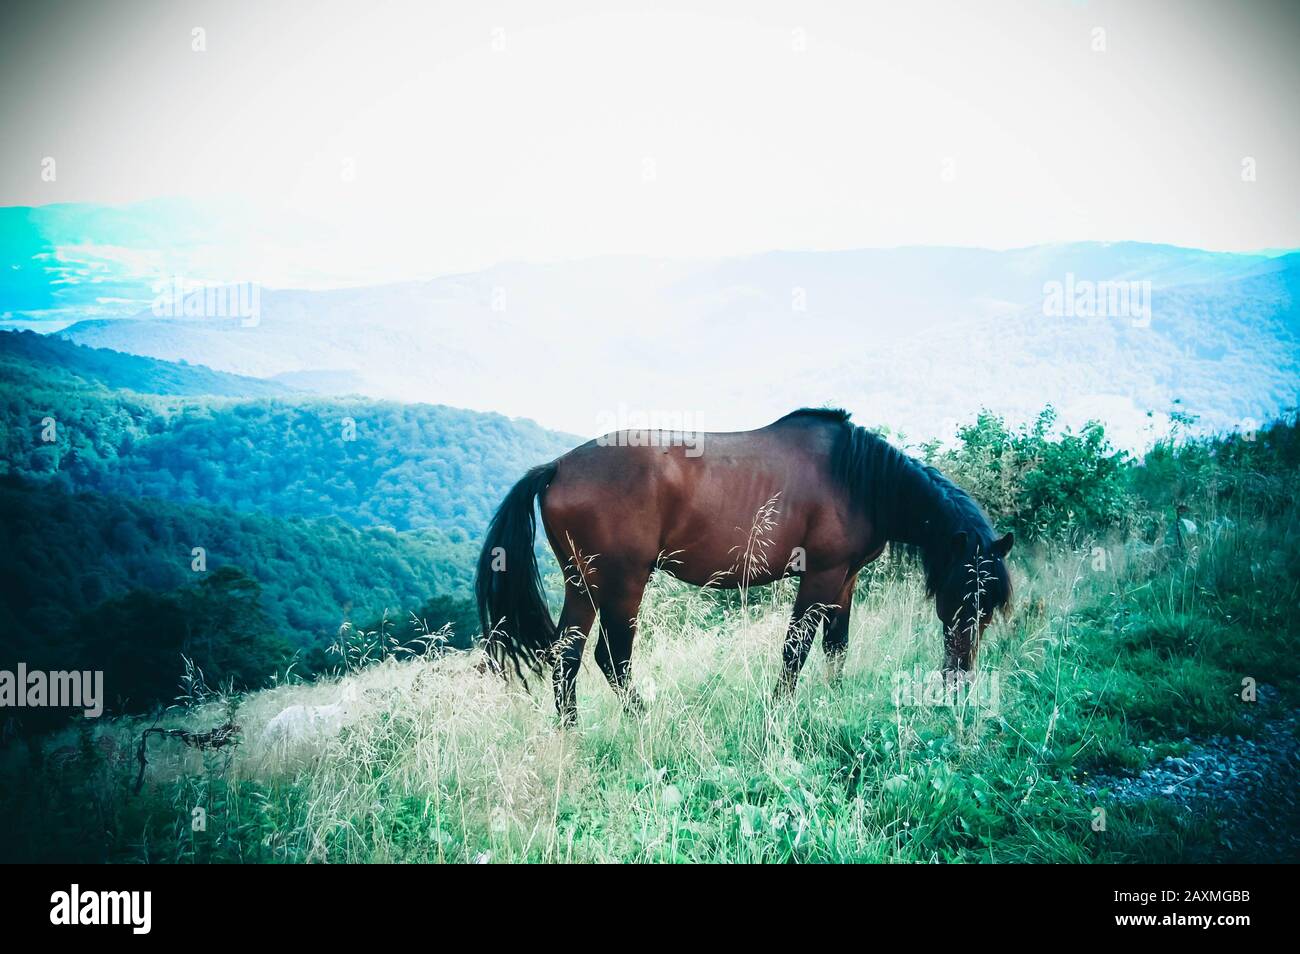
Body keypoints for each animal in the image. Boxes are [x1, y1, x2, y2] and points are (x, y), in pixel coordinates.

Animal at [475, 408, 1013, 725]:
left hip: (582, 585)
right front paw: (779, 708)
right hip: (623, 584)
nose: (960, 683)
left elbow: (835, 645)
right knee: (612, 657)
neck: (858, 479)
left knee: (565, 657)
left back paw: (570, 732)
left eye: (988, 609)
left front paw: (833, 698)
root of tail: (556, 467)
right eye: (961, 597)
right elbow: (796, 649)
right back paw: (644, 720)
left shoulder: (846, 578)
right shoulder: (821, 574)